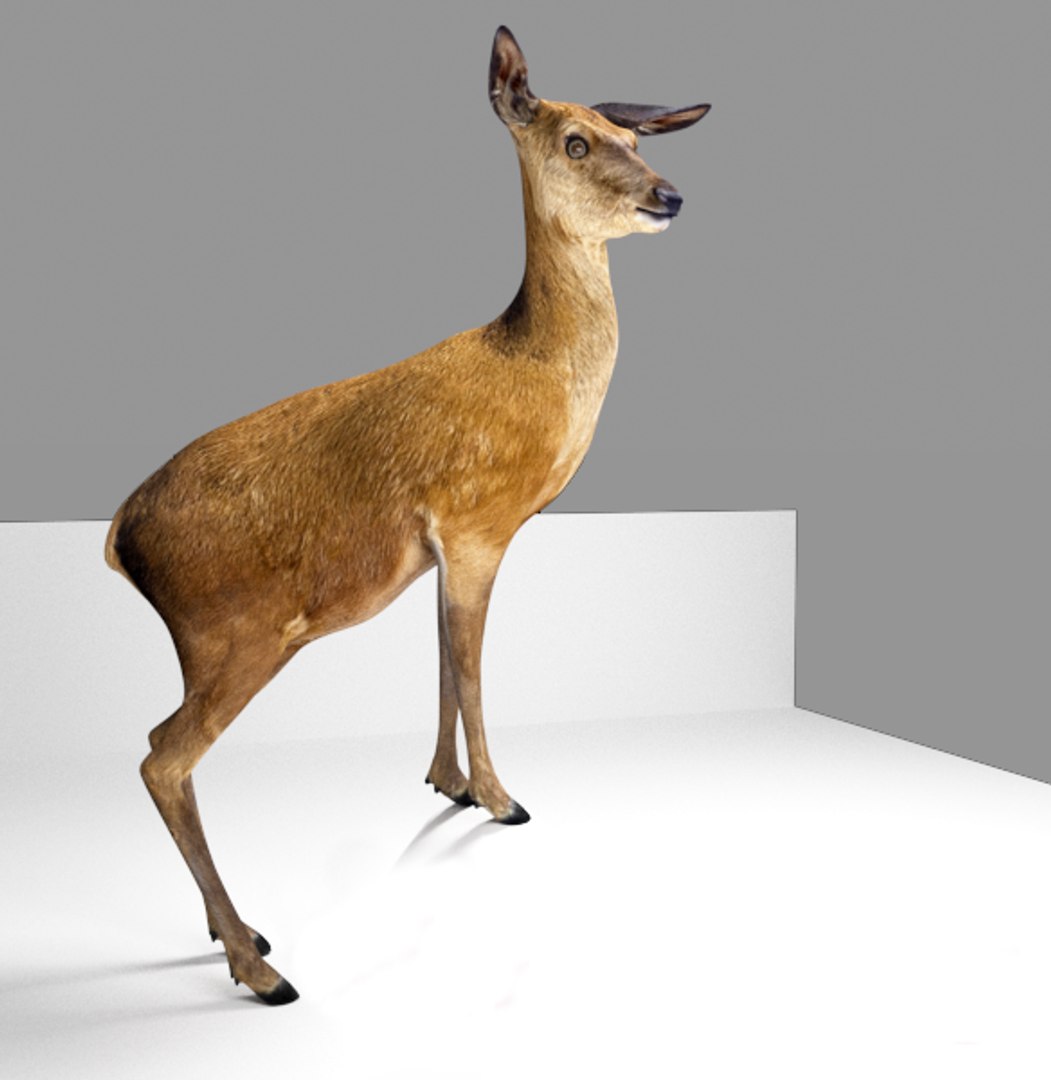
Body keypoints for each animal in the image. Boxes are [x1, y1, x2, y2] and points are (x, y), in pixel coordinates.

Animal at [105, 25, 708, 1005]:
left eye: (636, 138)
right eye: (576, 142)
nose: (670, 194)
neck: (537, 374)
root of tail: (118, 541)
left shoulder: (440, 548)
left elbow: (440, 653)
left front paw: (447, 784)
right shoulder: (477, 522)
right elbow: (470, 661)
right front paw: (502, 798)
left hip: (214, 643)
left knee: (165, 748)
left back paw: (237, 933)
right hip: (238, 631)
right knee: (164, 757)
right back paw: (261, 967)